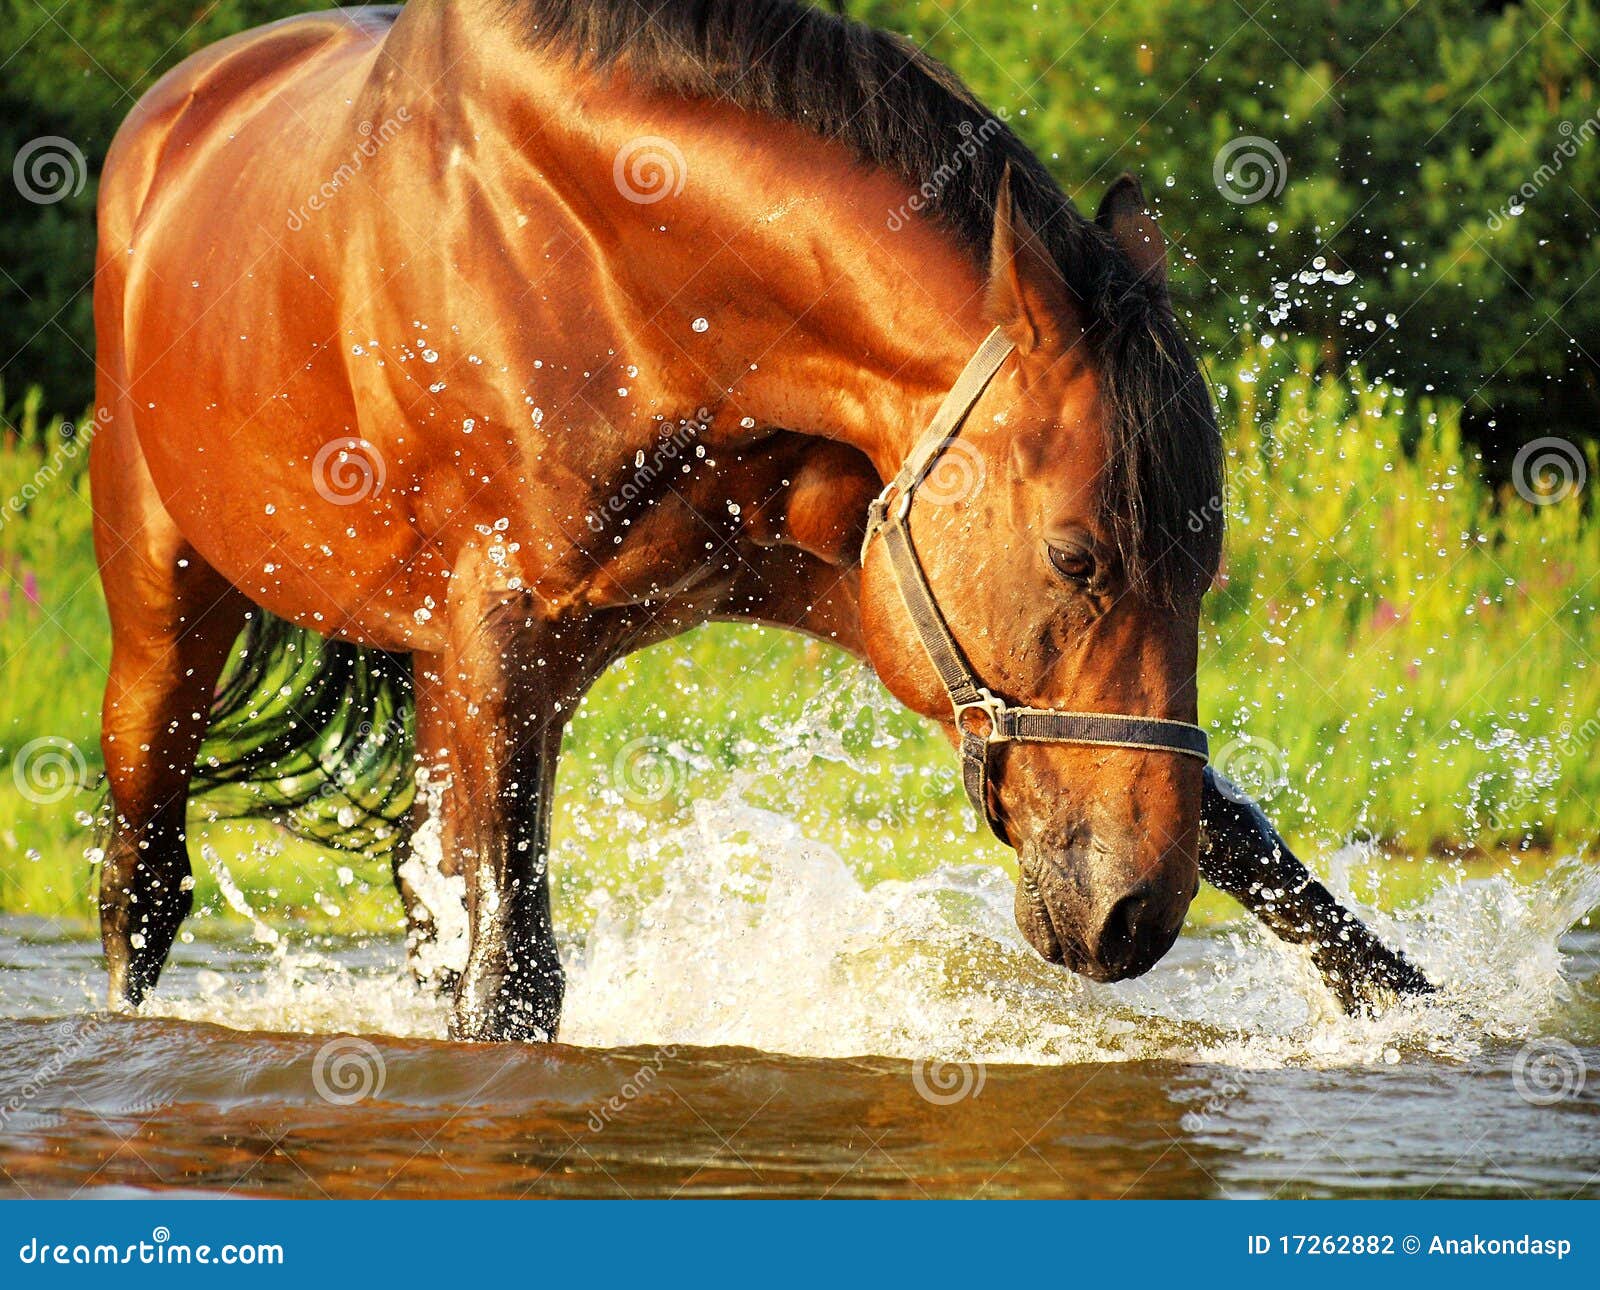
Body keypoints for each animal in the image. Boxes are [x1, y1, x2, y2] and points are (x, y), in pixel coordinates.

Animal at [92, 0, 1424, 1042]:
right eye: (1075, 557)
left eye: (1205, 569)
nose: (1134, 914)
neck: (615, 269)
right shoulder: (501, 643)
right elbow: (511, 980)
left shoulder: (871, 583)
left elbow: (1269, 859)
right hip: (172, 614)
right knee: (145, 884)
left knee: (421, 907)